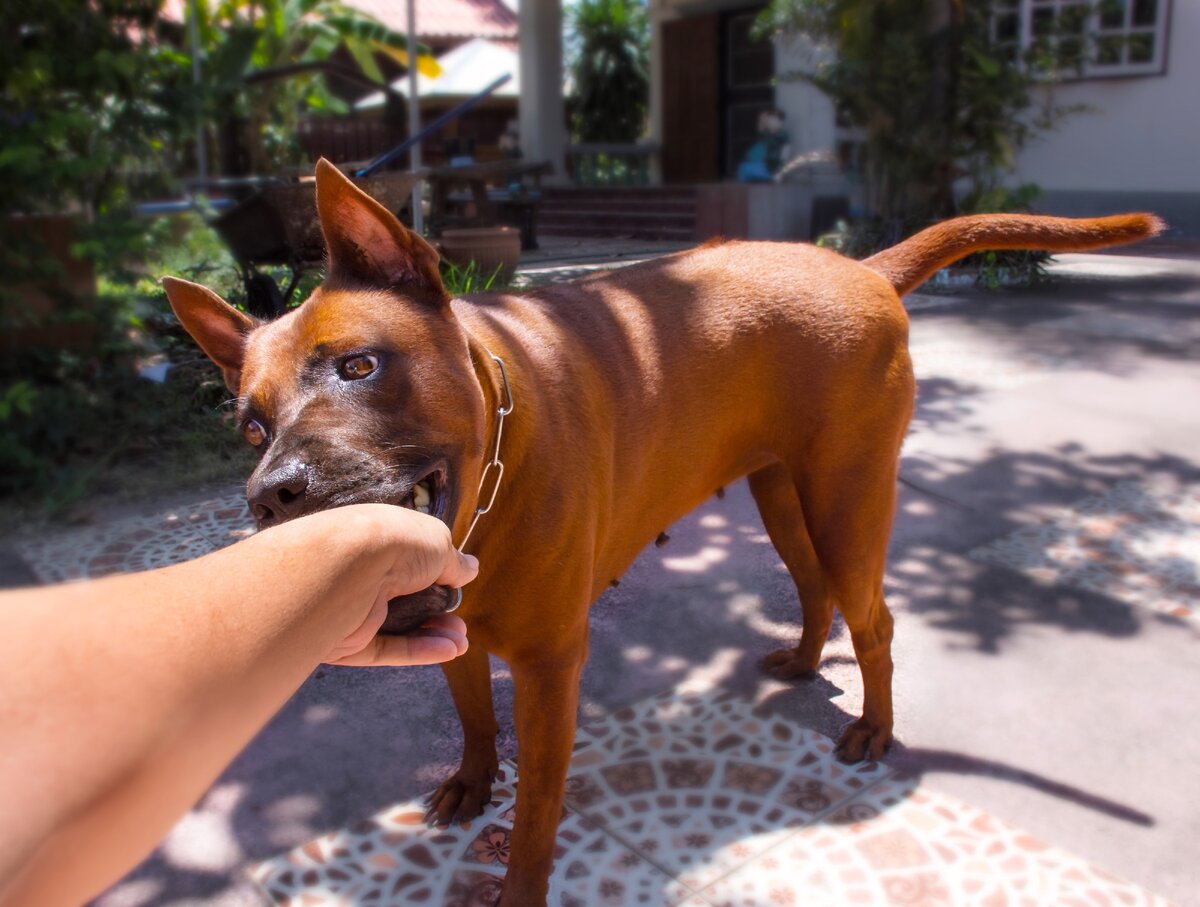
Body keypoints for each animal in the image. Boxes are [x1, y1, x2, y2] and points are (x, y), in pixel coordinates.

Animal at [162, 159, 1161, 902]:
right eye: (249, 425)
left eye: (361, 367)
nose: (272, 493)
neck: (496, 466)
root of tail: (863, 267)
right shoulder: (457, 631)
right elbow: (474, 718)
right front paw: (472, 780)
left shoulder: (551, 665)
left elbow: (537, 808)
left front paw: (519, 879)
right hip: (782, 494)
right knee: (814, 588)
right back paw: (804, 661)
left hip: (848, 500)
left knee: (874, 619)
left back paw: (874, 729)